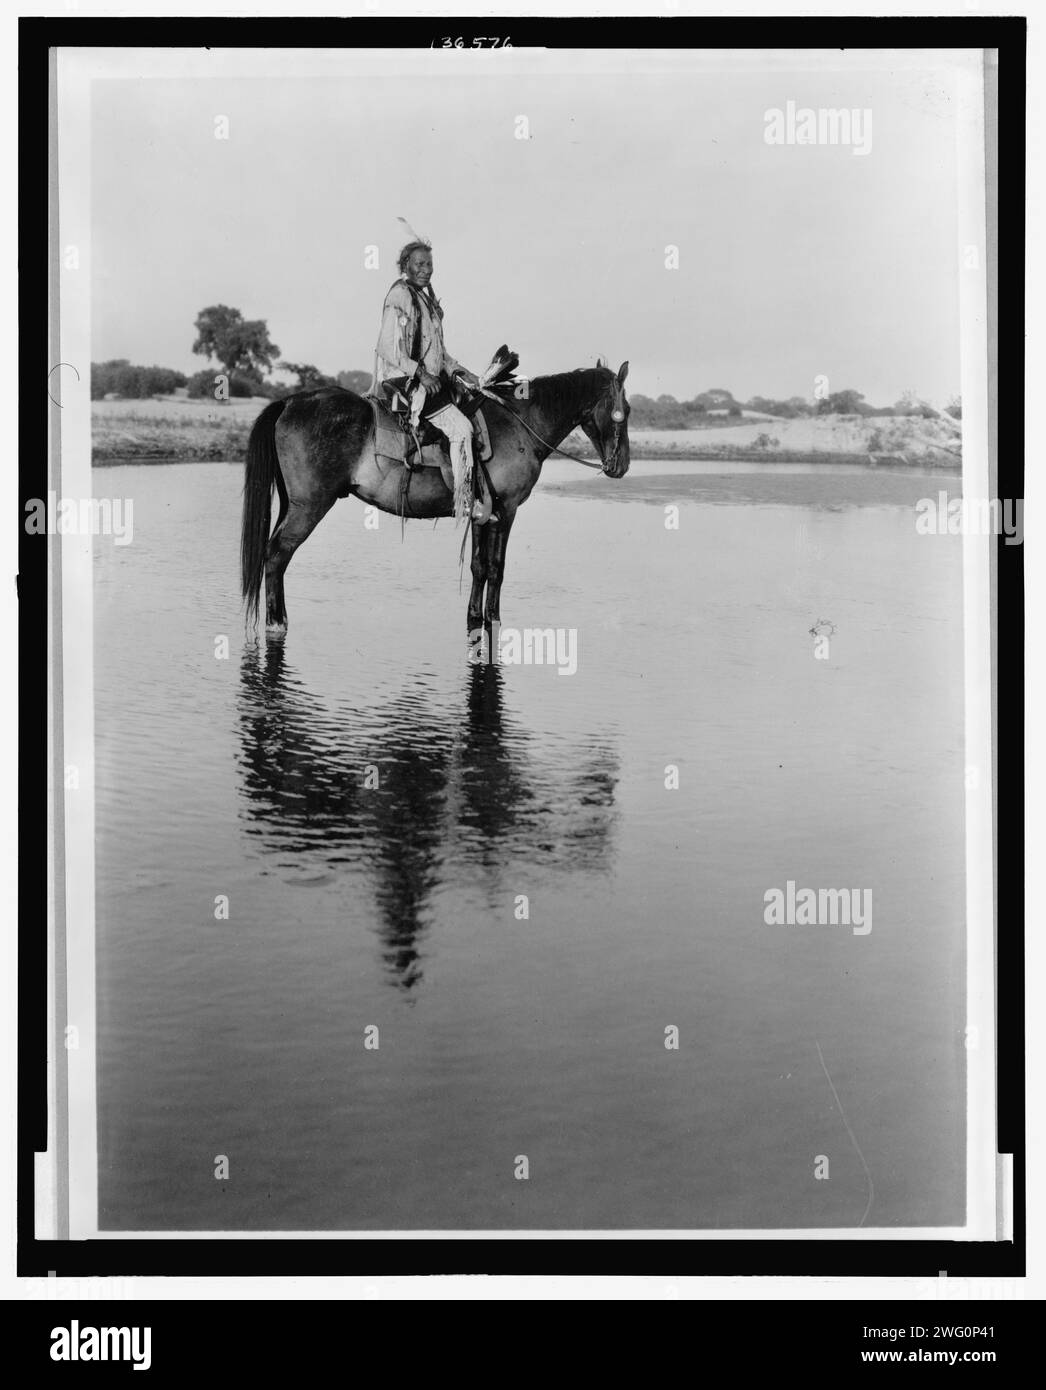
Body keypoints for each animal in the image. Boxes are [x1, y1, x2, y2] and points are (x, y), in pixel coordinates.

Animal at [241, 358, 633, 639]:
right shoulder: (506, 510)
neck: (521, 424)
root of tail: (290, 402)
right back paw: (276, 623)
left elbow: (479, 566)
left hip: (292, 504)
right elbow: (497, 567)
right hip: (309, 507)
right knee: (276, 555)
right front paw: (494, 620)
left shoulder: (484, 512)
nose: (622, 465)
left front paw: (475, 619)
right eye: (624, 411)